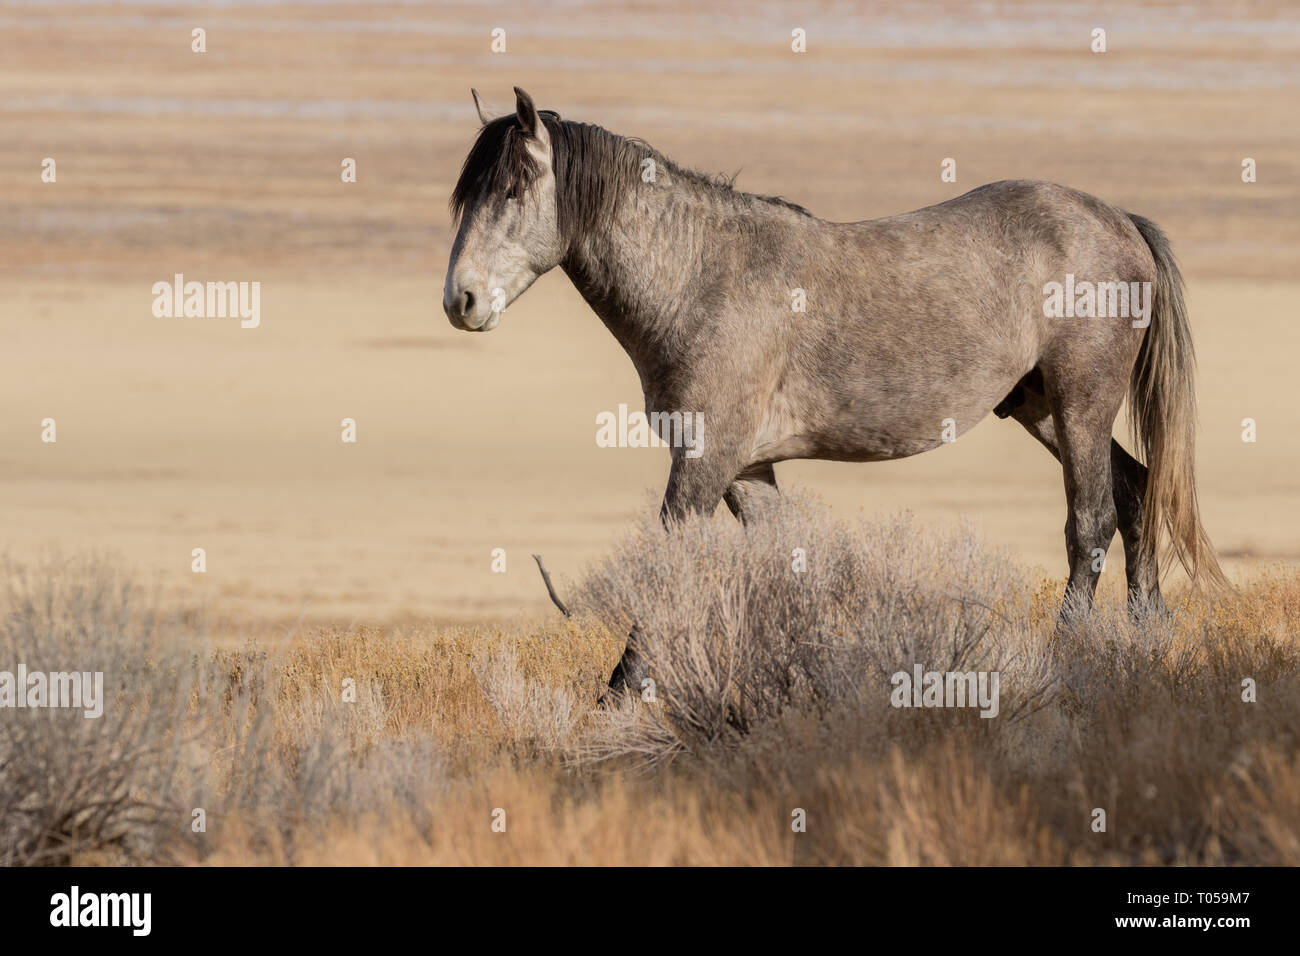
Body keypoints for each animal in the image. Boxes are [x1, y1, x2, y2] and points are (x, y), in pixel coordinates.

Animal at [443, 87, 1228, 696]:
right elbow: (786, 564)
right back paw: (1148, 634)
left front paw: (623, 692)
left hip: (1080, 403)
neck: (700, 276)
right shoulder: (746, 467)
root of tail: (1119, 221)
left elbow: (670, 568)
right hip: (1041, 409)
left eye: (512, 188)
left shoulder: (703, 461)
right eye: (465, 196)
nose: (462, 300)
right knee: (1138, 491)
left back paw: (1069, 653)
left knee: (1091, 520)